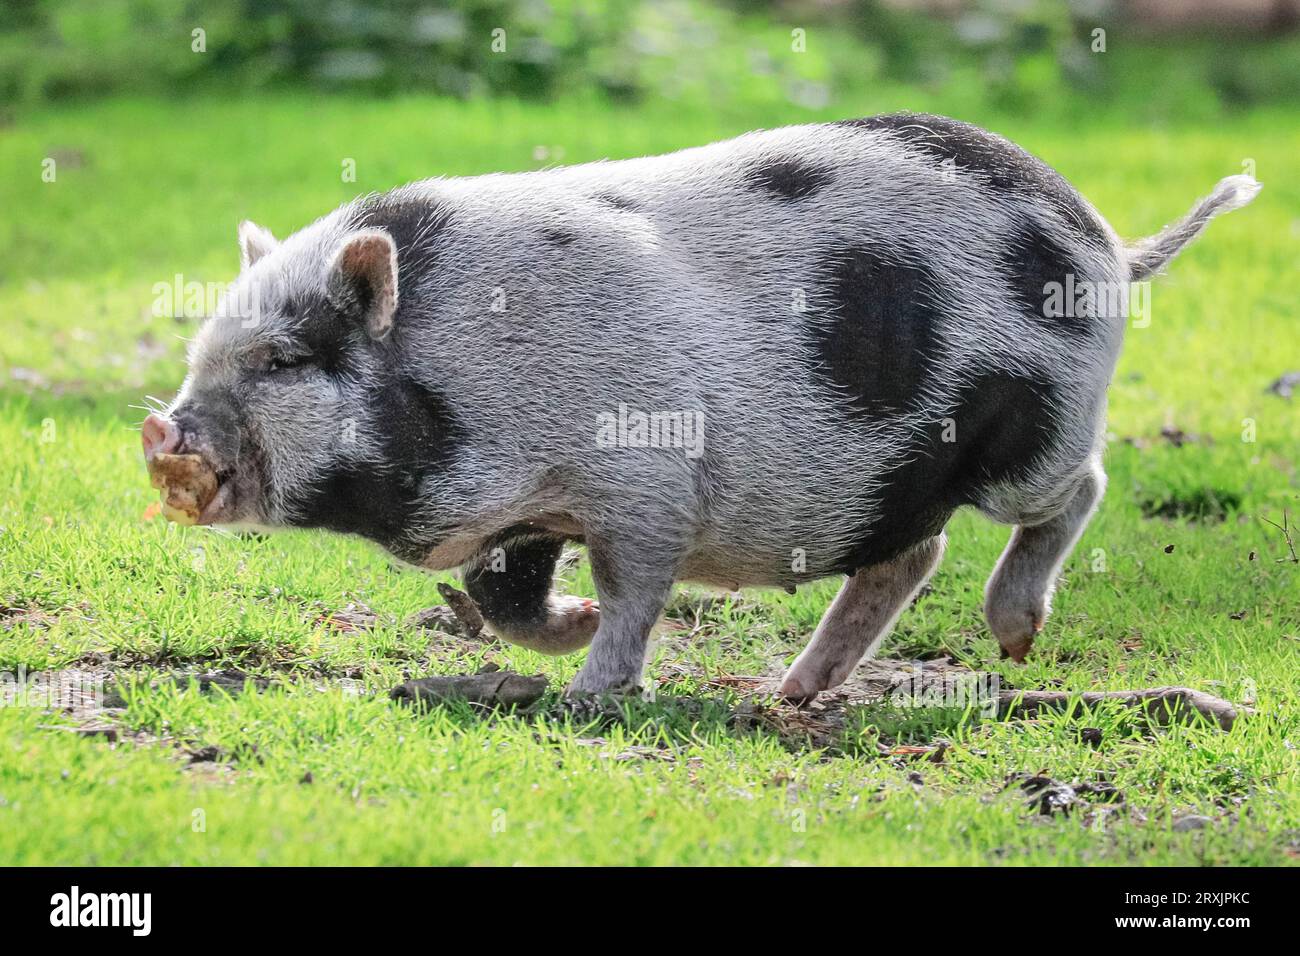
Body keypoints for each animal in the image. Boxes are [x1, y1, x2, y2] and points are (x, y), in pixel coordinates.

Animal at [141, 113, 1260, 699]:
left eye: (285, 358)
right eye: (201, 355)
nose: (162, 429)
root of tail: (1109, 243)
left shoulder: (642, 481)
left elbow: (638, 586)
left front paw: (593, 693)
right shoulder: (525, 510)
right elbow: (507, 602)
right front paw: (572, 631)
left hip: (1031, 428)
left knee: (1076, 491)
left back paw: (1012, 638)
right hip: (892, 478)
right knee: (910, 553)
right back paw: (791, 693)